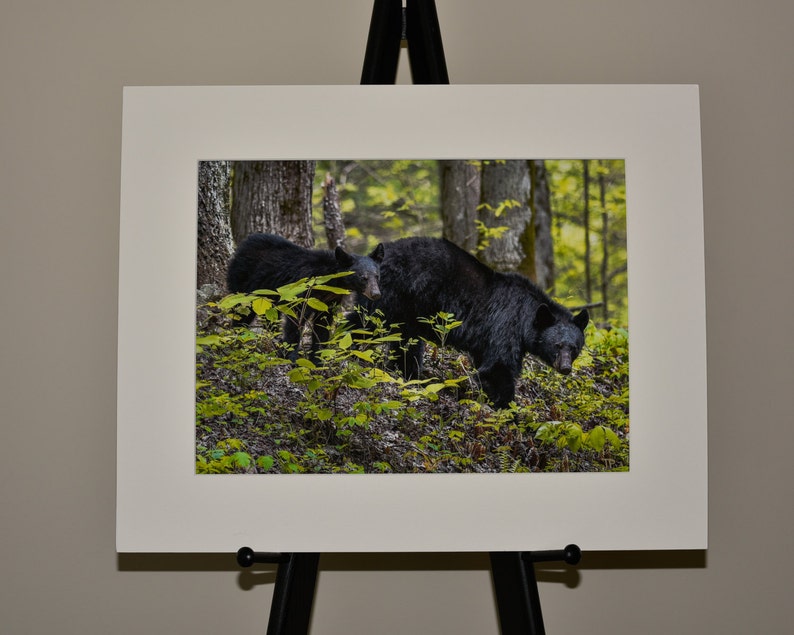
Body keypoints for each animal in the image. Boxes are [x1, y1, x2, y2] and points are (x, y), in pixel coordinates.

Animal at [227, 233, 384, 360]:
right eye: (363, 277)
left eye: (377, 276)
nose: (376, 294)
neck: (329, 282)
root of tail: (245, 243)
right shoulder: (303, 293)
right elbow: (296, 321)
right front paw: (290, 357)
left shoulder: (329, 301)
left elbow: (322, 327)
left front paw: (317, 359)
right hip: (244, 282)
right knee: (242, 310)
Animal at [348, 236, 589, 408]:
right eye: (557, 345)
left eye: (574, 347)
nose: (565, 368)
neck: (525, 317)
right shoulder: (505, 326)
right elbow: (498, 368)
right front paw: (506, 409)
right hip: (393, 294)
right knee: (366, 323)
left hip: (406, 311)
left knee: (405, 343)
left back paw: (411, 376)